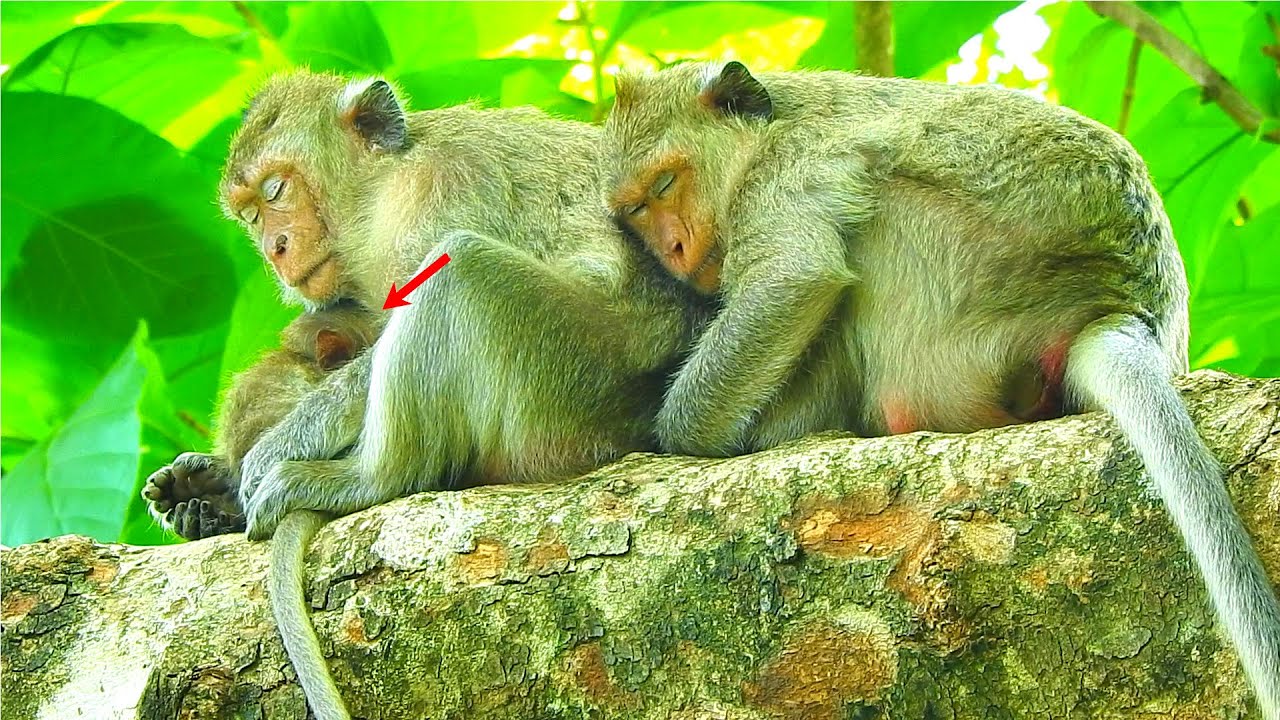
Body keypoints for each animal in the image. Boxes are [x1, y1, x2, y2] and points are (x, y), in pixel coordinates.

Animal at [214, 72, 702, 720]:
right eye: (249, 214)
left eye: (276, 189)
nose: (275, 248)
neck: (379, 196)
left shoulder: (444, 187)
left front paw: (271, 451)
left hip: (564, 380)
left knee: (457, 267)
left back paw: (372, 477)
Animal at [601, 61, 1280, 718]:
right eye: (637, 212)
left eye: (665, 185)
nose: (674, 247)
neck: (762, 137)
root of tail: (1121, 311)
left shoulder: (782, 176)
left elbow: (794, 275)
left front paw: (675, 439)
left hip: (946, 296)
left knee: (873, 207)